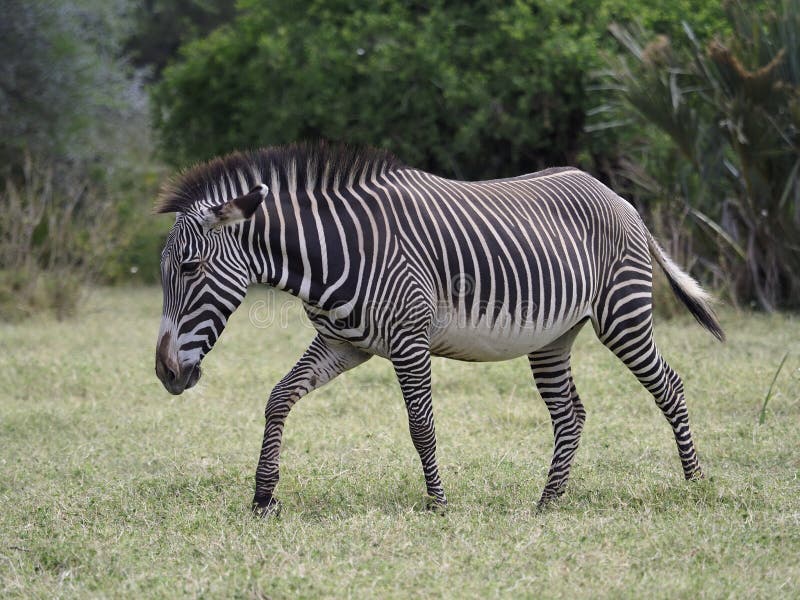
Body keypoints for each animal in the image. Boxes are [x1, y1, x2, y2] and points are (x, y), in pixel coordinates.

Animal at [154, 142, 724, 515]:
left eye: (189, 268)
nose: (165, 374)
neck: (335, 253)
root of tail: (618, 197)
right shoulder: (342, 343)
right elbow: (278, 398)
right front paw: (263, 496)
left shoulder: (409, 341)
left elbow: (420, 426)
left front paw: (438, 503)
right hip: (552, 337)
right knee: (571, 415)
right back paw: (547, 501)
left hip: (622, 316)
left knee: (669, 387)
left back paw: (695, 484)